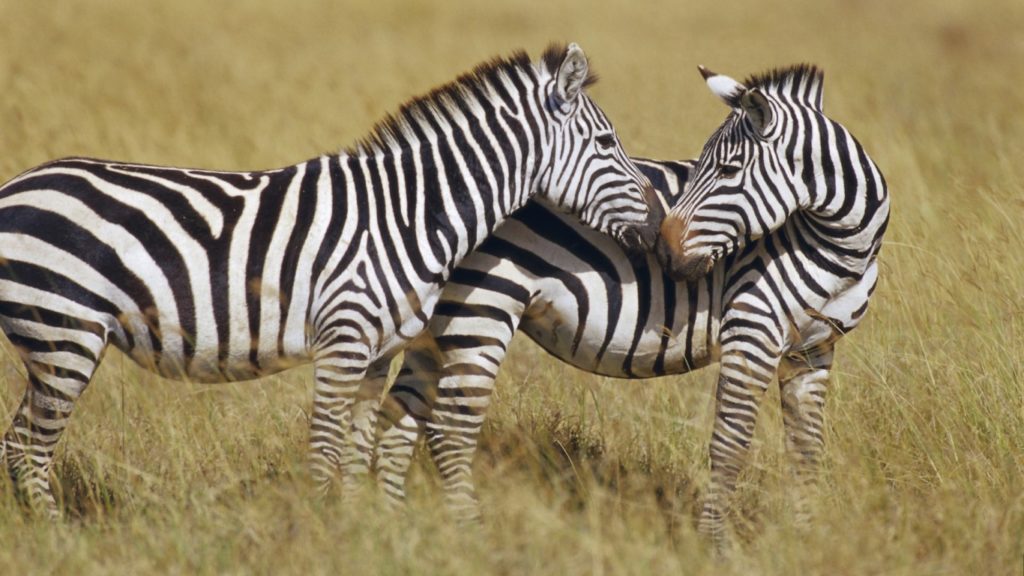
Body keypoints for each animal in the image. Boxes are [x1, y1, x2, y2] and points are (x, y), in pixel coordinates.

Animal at [0, 43, 664, 517]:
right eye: (607, 141)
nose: (661, 221)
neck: (409, 213)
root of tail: (17, 186)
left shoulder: (380, 350)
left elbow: (357, 449)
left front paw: (357, 530)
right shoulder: (344, 340)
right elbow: (324, 450)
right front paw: (326, 534)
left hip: (53, 343)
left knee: (17, 443)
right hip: (65, 335)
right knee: (30, 447)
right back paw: (57, 538)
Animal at [374, 64, 890, 551]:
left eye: (728, 171)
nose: (662, 249)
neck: (842, 247)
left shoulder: (813, 350)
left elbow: (807, 450)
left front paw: (806, 538)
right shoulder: (752, 330)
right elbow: (730, 443)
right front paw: (716, 545)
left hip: (438, 322)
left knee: (398, 417)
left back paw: (392, 524)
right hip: (482, 304)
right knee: (449, 430)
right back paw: (470, 537)